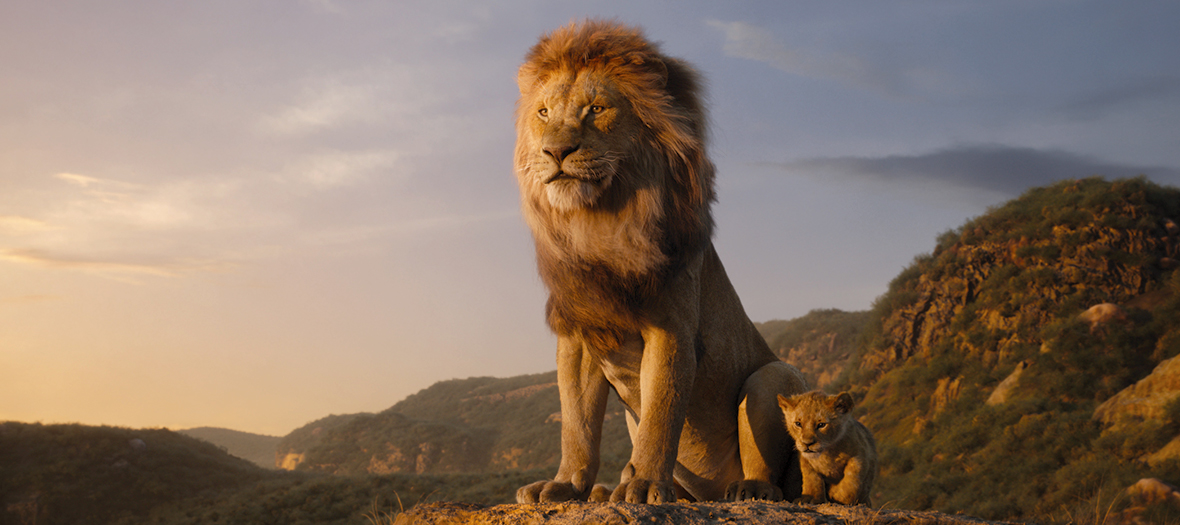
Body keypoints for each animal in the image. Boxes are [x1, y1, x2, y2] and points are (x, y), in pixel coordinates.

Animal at [512, 20, 808, 504]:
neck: (599, 223)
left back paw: (747, 489)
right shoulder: (579, 334)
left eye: (596, 109)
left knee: (771, 472)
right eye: (543, 113)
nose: (555, 152)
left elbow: (661, 413)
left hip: (774, 376)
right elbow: (577, 424)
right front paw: (566, 485)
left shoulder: (671, 328)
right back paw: (607, 491)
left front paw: (646, 484)